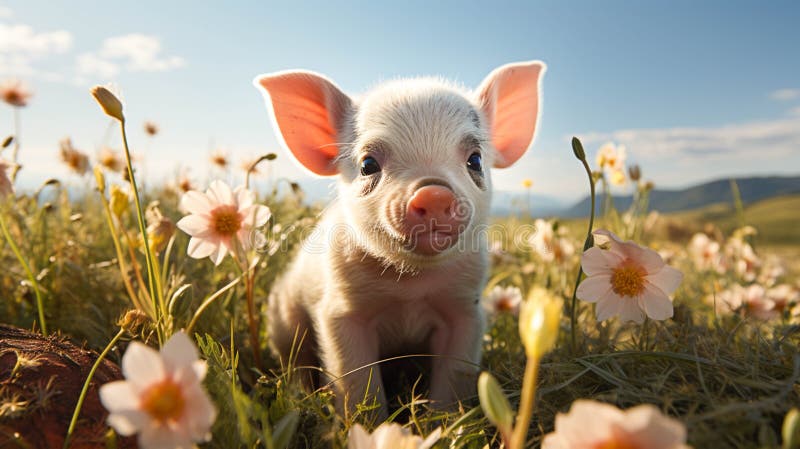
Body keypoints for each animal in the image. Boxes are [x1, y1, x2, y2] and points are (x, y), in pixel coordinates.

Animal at [253, 60, 545, 417]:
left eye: (475, 159)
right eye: (368, 165)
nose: (434, 192)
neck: (411, 286)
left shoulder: (465, 310)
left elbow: (452, 379)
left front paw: (440, 421)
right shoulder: (341, 310)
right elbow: (357, 382)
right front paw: (372, 424)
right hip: (283, 320)